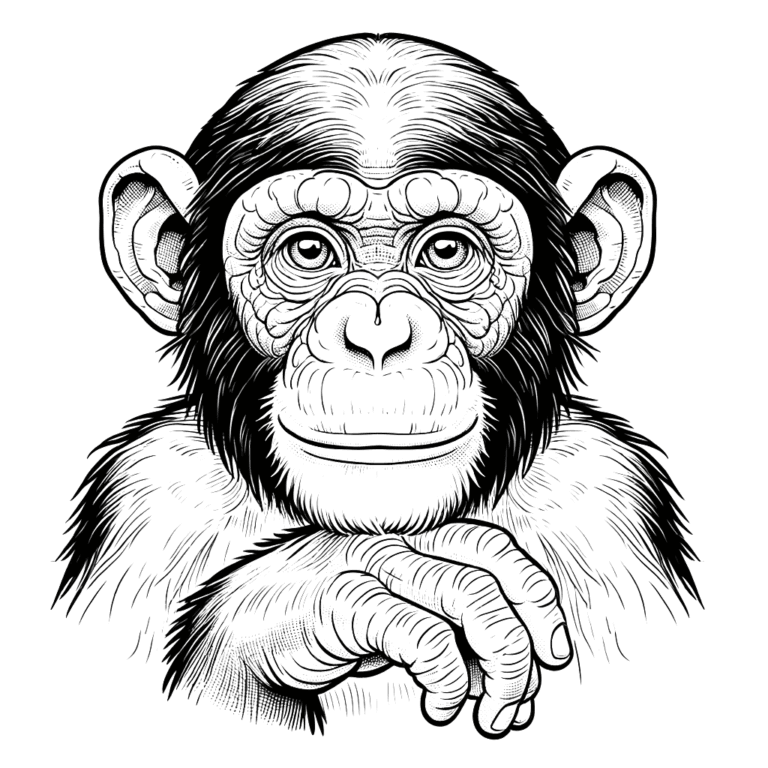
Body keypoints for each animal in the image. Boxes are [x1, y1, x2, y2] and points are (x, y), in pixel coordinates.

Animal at [54, 33, 699, 738]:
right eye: (309, 250)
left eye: (447, 249)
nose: (378, 337)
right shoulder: (142, 500)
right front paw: (338, 593)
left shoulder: (611, 502)